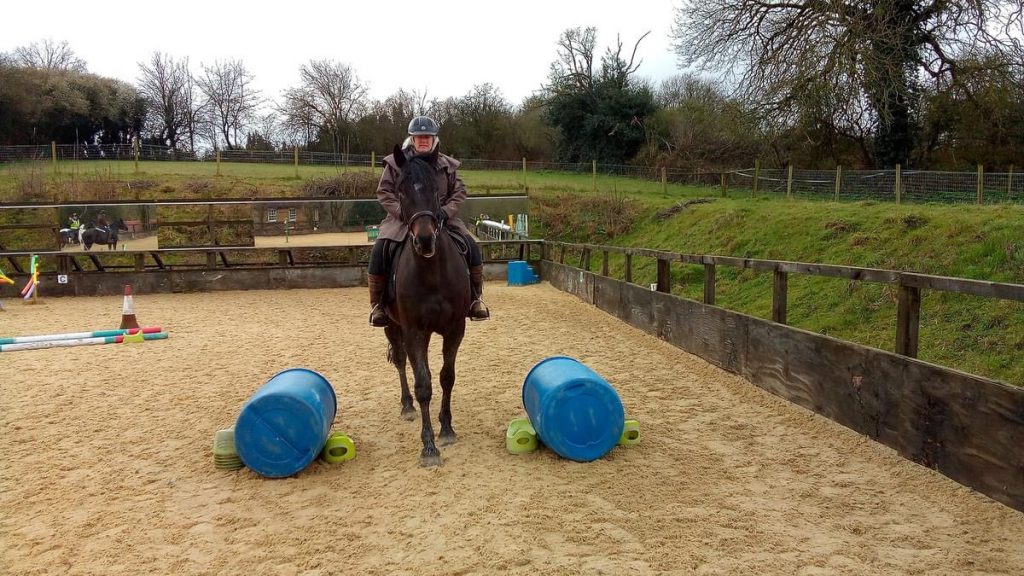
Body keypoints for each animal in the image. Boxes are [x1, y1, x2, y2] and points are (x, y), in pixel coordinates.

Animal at [383, 145, 472, 467]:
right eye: (401, 191)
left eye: (436, 189)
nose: (423, 240)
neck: (432, 271)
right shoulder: (413, 331)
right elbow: (423, 385)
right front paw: (429, 446)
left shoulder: (455, 329)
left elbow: (447, 378)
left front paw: (446, 428)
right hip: (392, 326)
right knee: (401, 362)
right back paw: (407, 405)